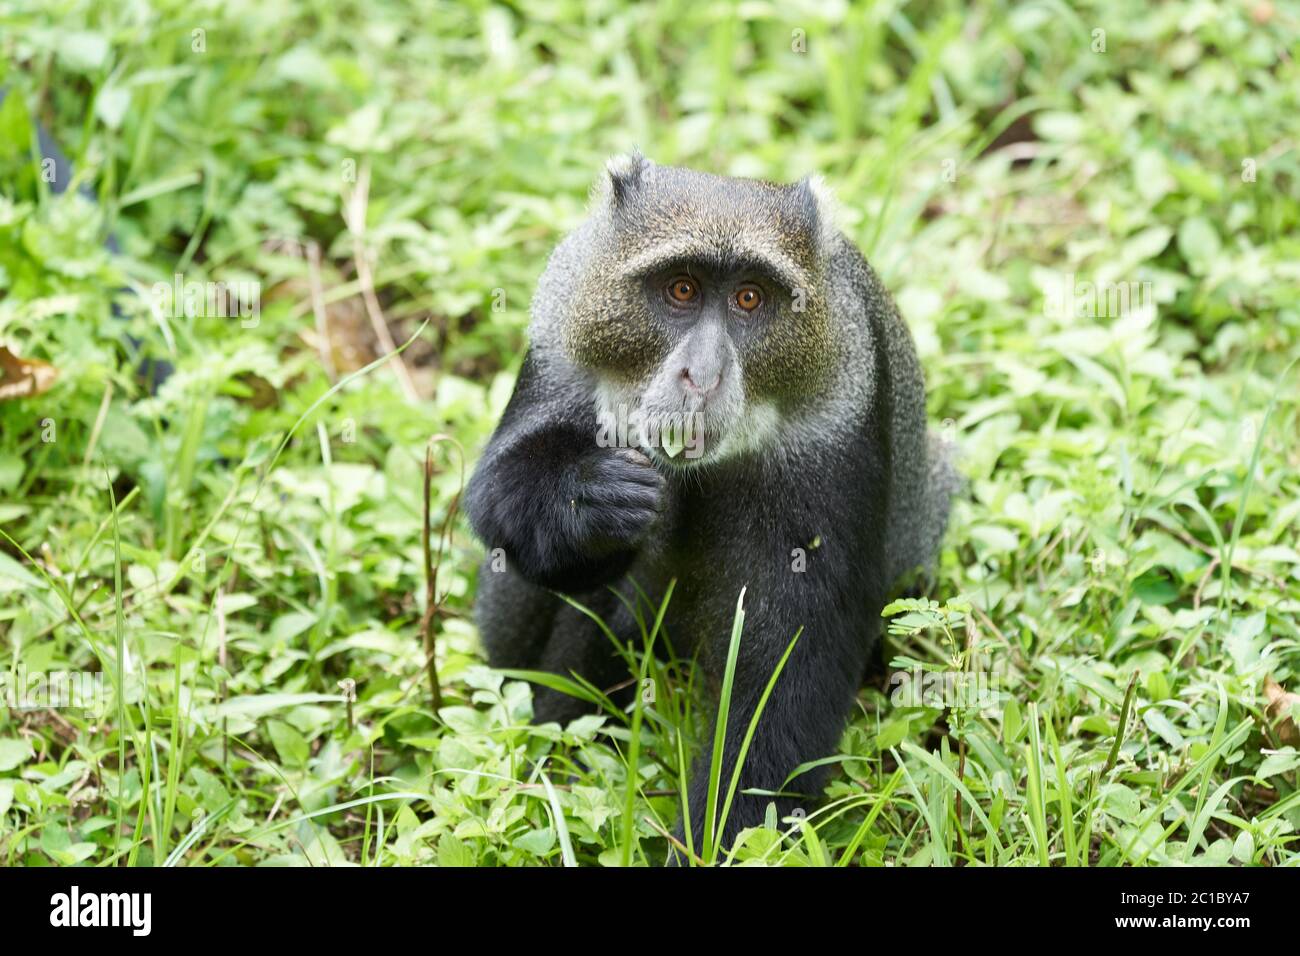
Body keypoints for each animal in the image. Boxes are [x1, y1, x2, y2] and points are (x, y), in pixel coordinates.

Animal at [464, 153, 958, 863]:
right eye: (681, 290)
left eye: (750, 298)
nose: (701, 376)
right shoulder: (559, 338)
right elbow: (498, 494)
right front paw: (587, 497)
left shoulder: (840, 420)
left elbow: (795, 654)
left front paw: (713, 841)